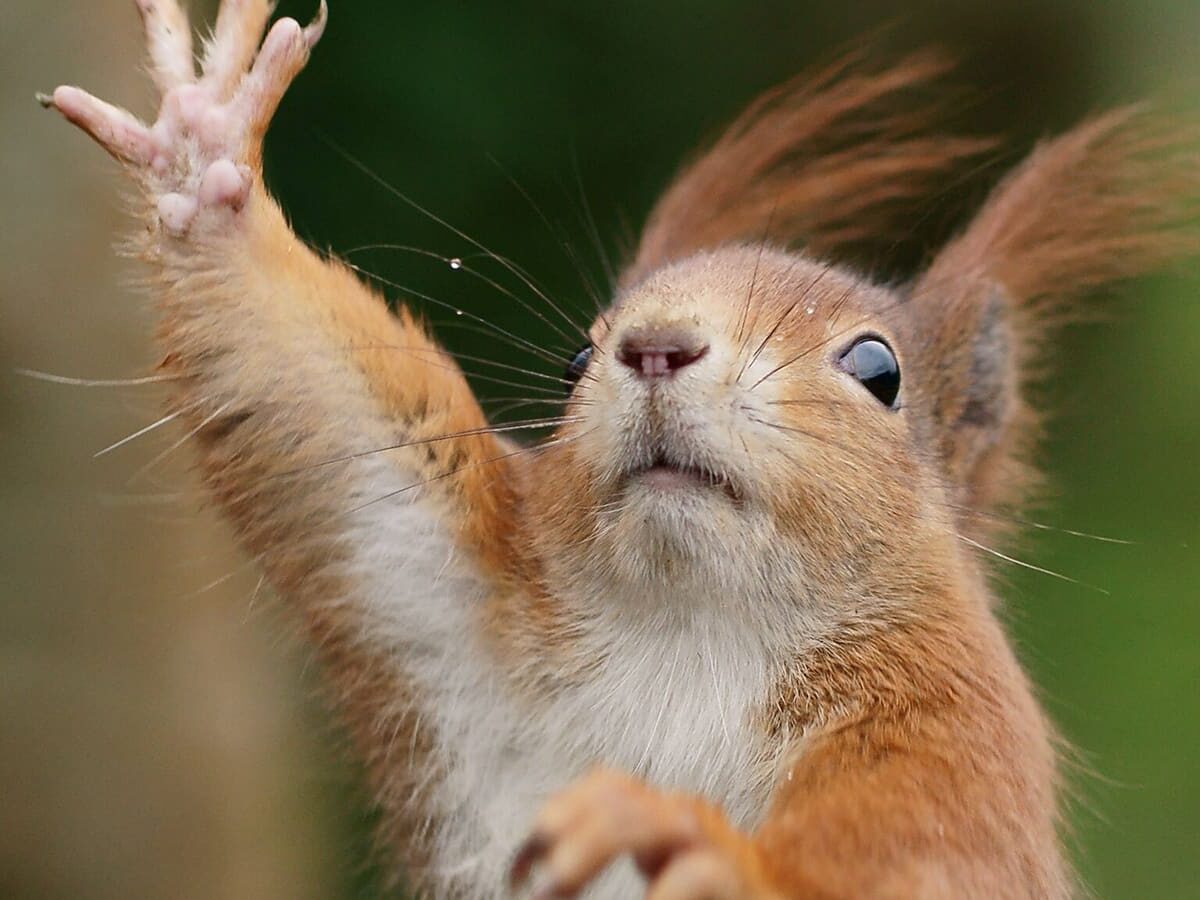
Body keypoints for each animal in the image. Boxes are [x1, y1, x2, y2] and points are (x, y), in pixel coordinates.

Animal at [40, 2, 1200, 898]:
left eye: (879, 370)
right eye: (573, 358)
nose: (654, 346)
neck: (692, 628)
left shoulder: (955, 750)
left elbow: (906, 871)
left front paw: (698, 847)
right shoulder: (439, 588)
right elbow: (312, 402)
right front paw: (206, 153)